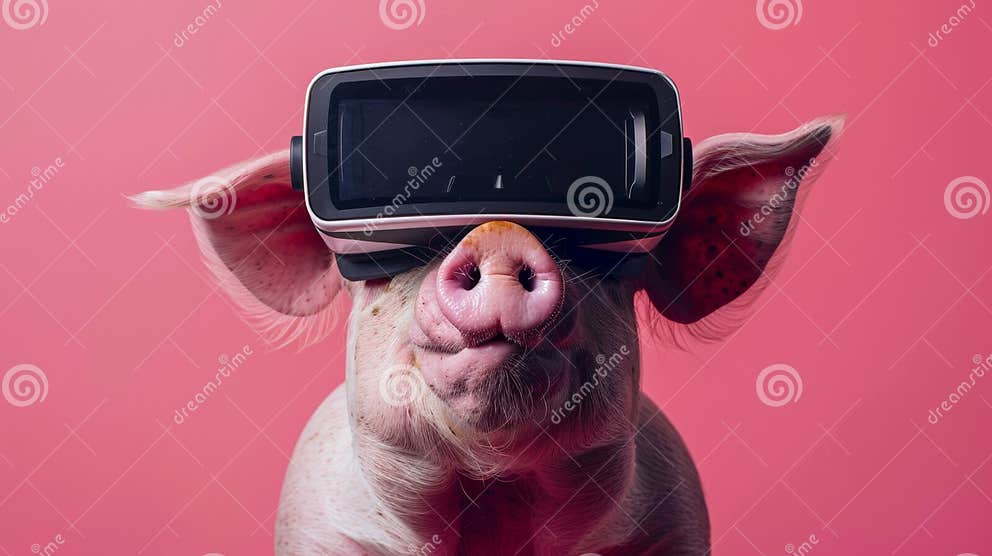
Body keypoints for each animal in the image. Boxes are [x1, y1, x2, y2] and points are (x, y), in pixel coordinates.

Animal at [133, 115, 842, 555]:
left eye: (596, 258)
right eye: (389, 263)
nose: (501, 236)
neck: (494, 506)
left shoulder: (676, 522)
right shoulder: (318, 525)